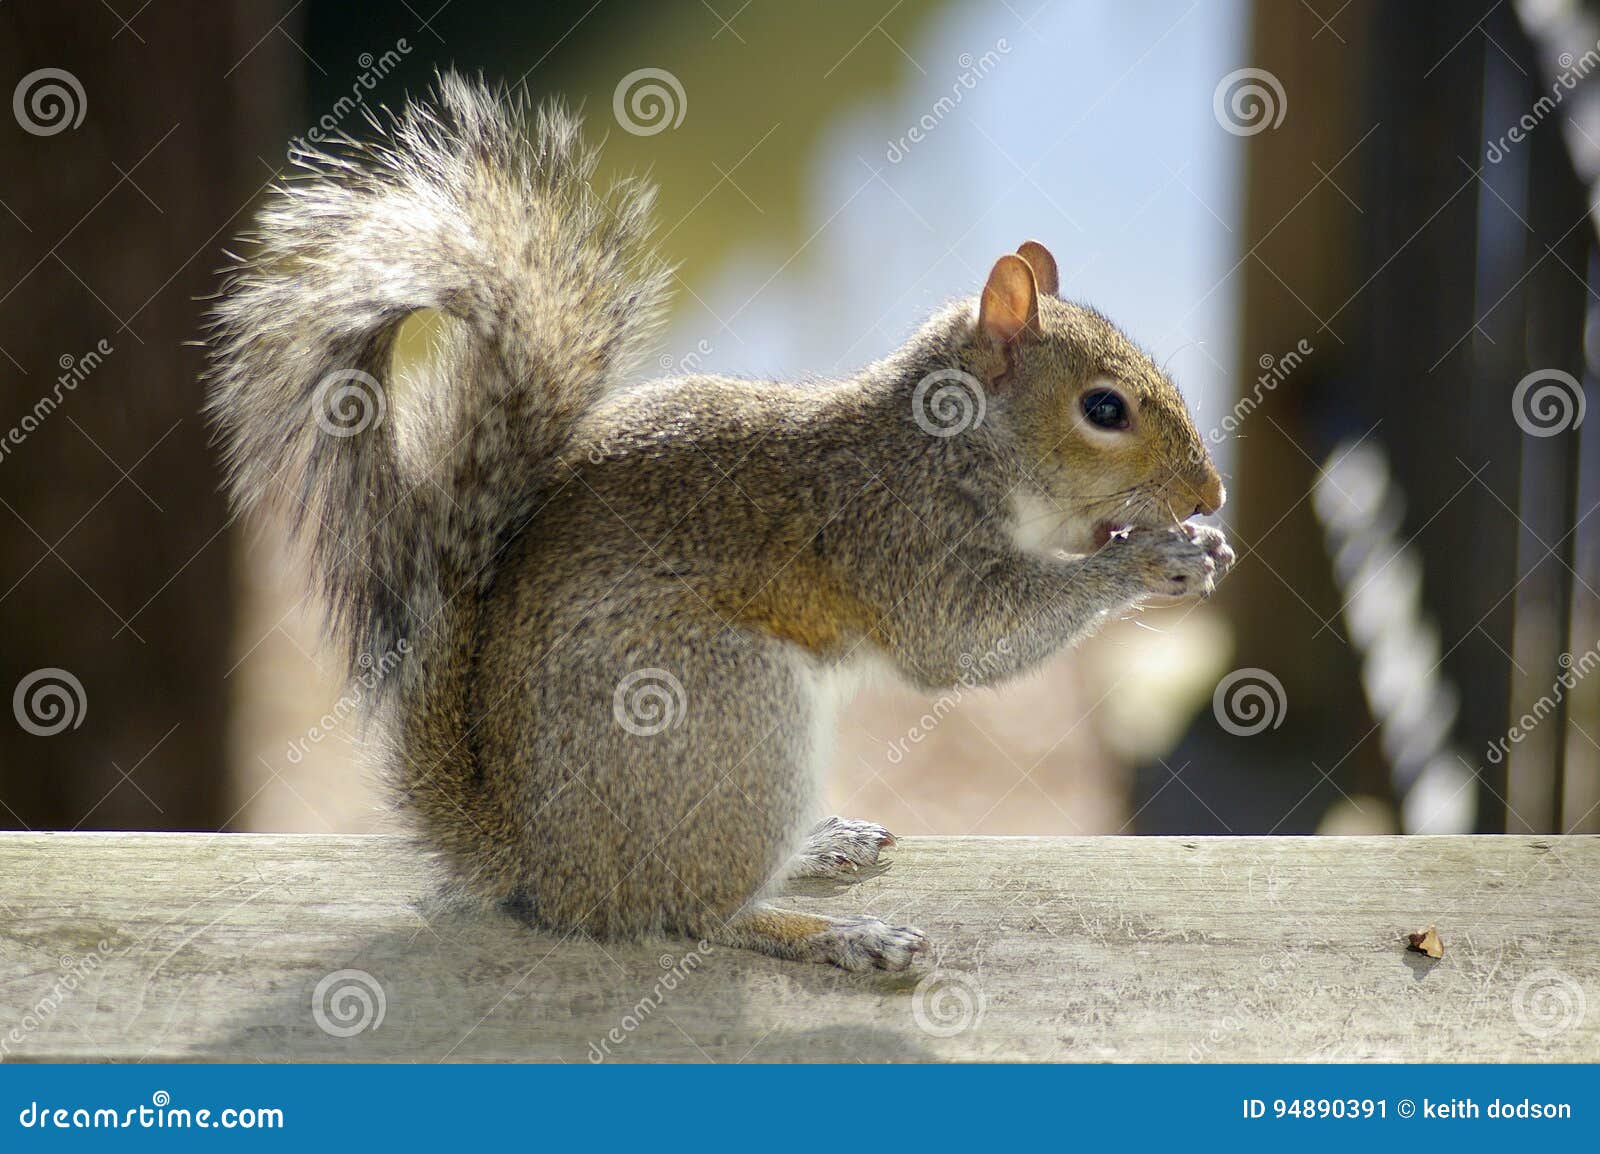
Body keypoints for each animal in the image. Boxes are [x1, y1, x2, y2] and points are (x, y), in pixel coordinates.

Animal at [205, 73, 1232, 972]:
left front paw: (1197, 546)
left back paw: (818, 849)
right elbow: (969, 642)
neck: (943, 444)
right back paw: (832, 935)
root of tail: (541, 862)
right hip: (724, 704)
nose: (1211, 495)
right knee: (690, 913)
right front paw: (1147, 562)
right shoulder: (896, 537)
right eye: (1104, 409)